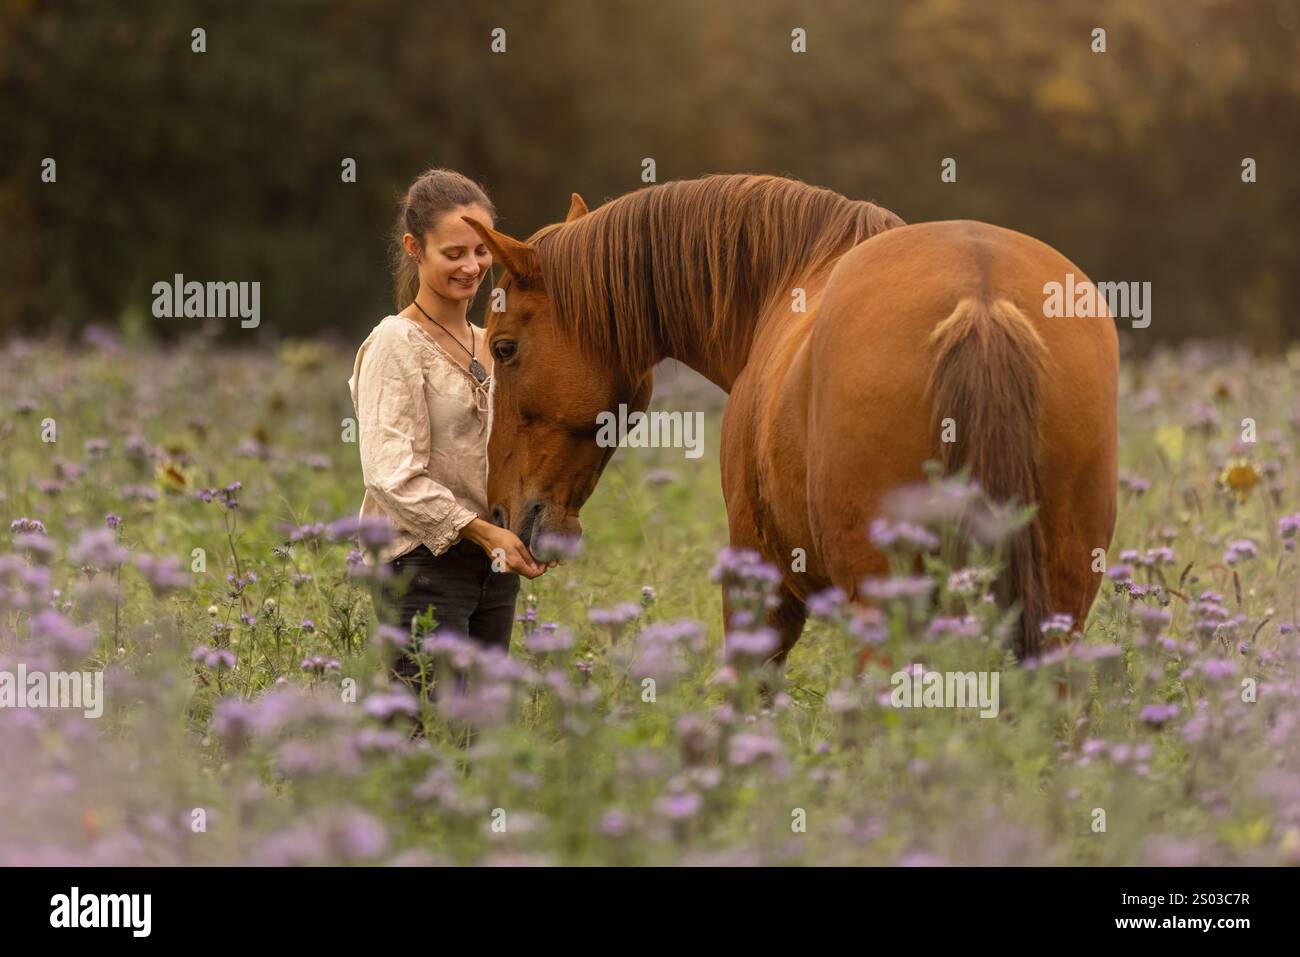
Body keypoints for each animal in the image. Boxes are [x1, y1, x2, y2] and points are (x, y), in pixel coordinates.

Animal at [464, 174, 1118, 663]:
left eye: (503, 348)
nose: (500, 516)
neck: (784, 283)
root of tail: (981, 296)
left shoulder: (761, 578)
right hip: (1059, 609)